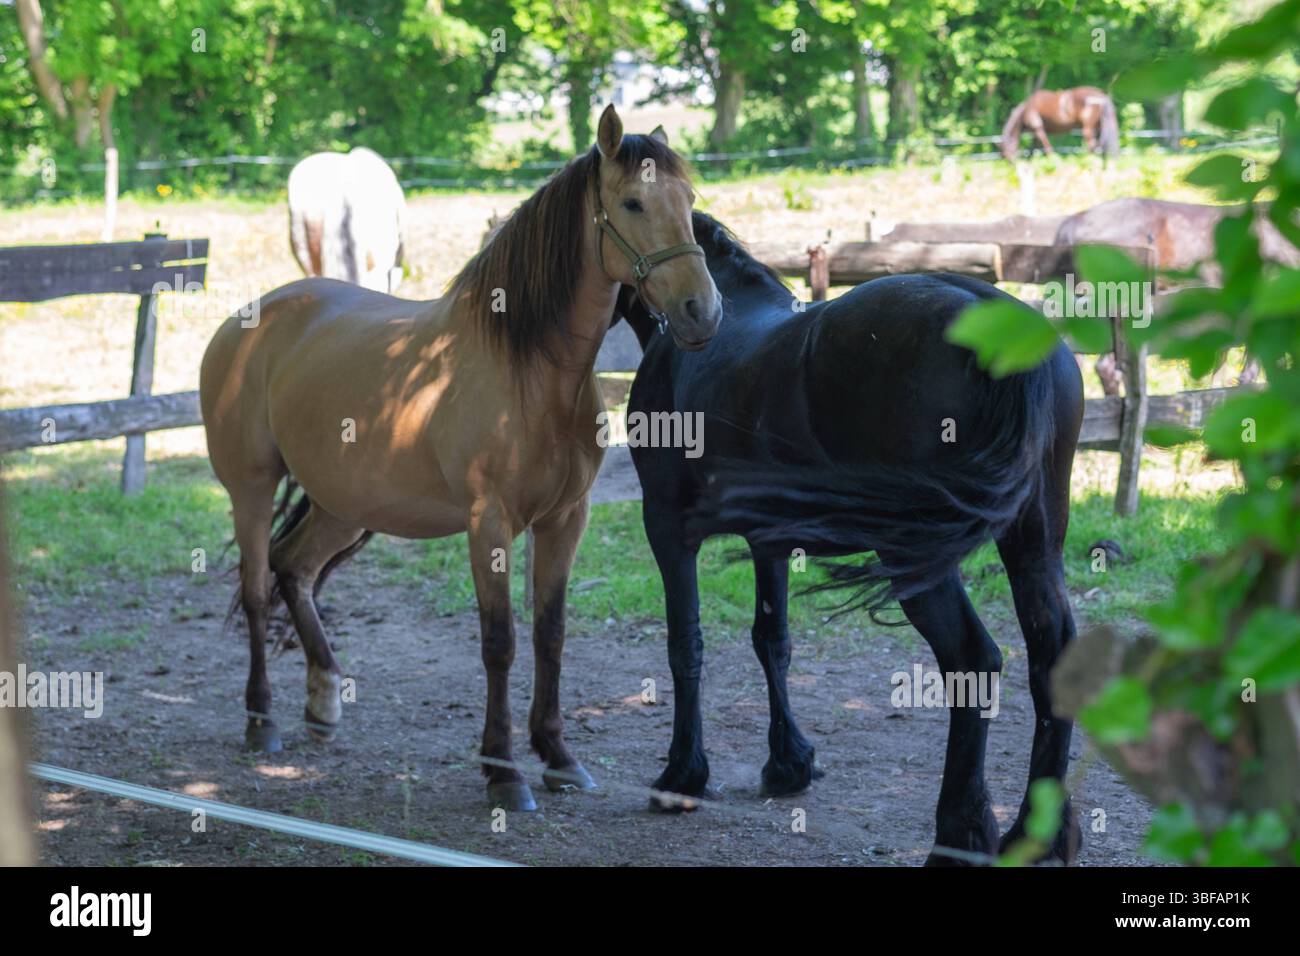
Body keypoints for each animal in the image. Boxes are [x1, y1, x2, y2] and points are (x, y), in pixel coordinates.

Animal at [619, 211, 1084, 864]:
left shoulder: (667, 527)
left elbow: (686, 644)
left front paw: (683, 774)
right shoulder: (768, 542)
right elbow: (772, 640)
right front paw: (789, 763)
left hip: (917, 554)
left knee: (972, 660)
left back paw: (958, 837)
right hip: (1033, 539)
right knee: (1050, 654)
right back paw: (1037, 836)